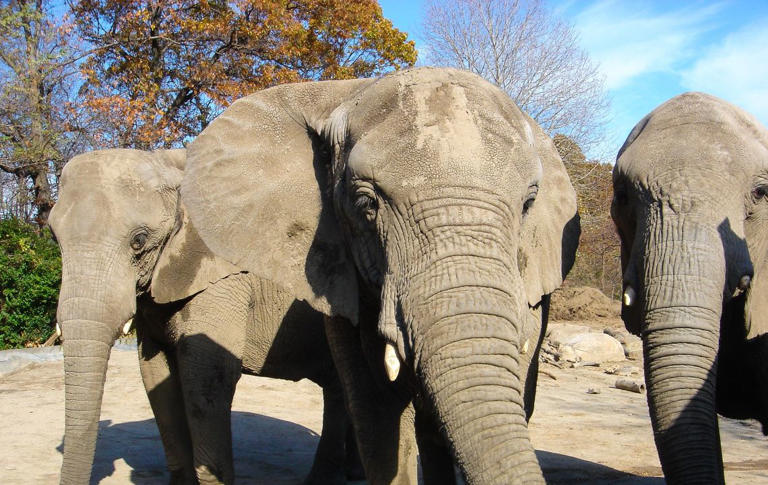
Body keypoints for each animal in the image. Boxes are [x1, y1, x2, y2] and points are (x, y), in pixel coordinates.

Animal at [48, 148, 362, 485]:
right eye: (53, 238)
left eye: (139, 240)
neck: (173, 165)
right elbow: (156, 375)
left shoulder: (224, 277)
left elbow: (206, 376)